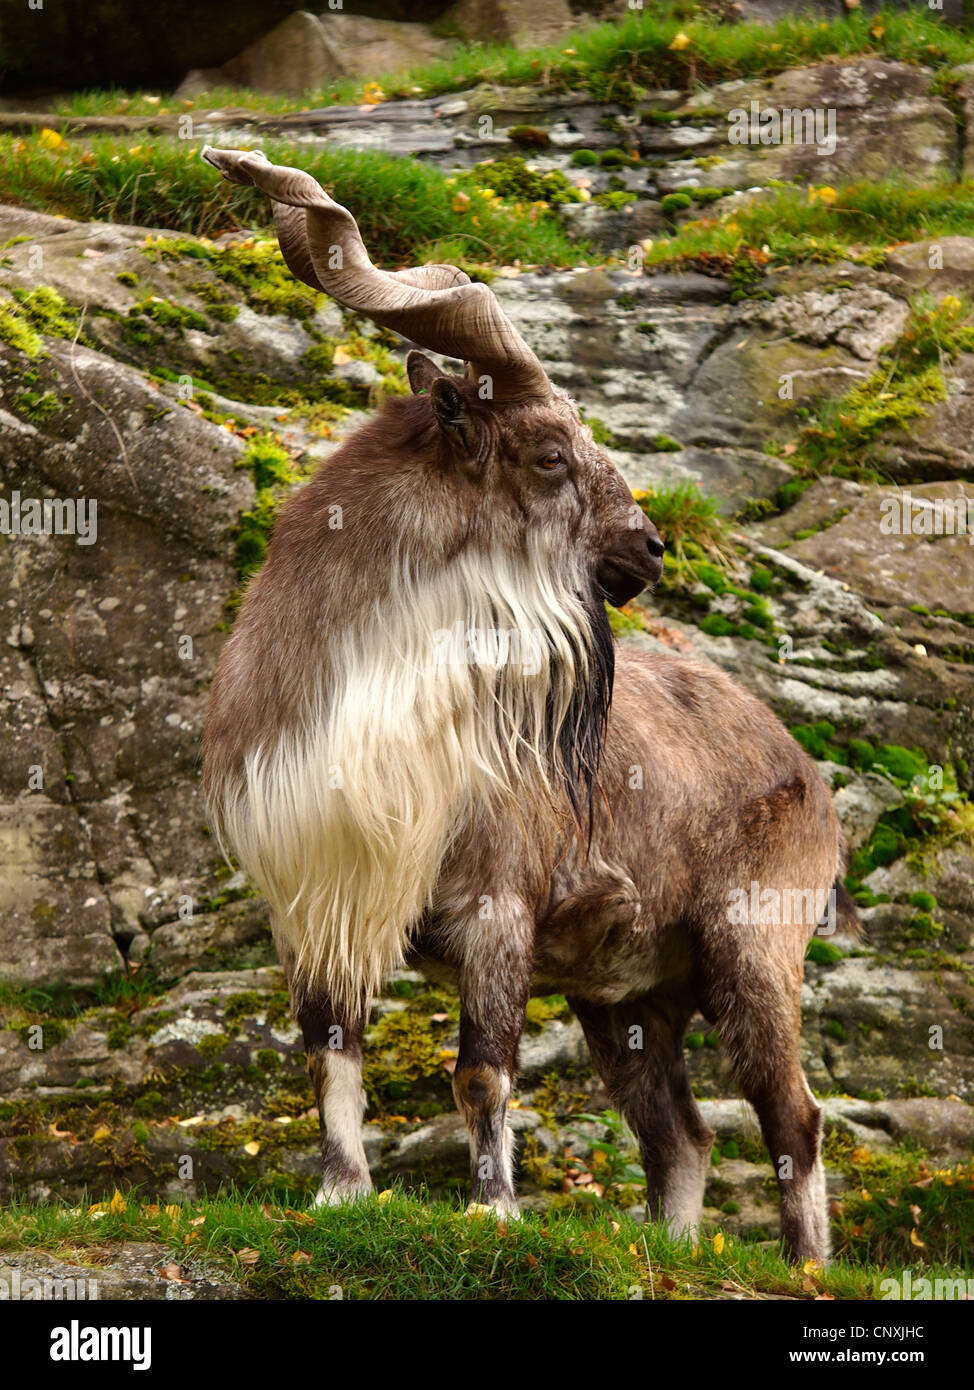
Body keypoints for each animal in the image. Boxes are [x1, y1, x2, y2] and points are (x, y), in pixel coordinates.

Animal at [201, 147, 855, 1262]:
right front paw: (342, 1195)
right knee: (678, 1135)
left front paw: (492, 1207)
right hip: (630, 998)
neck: (365, 707)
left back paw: (807, 1269)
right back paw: (669, 1247)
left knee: (793, 1120)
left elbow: (482, 1068)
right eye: (549, 453)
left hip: (754, 949)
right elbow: (332, 1054)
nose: (648, 549)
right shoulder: (313, 903)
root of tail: (800, 769)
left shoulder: (493, 910)